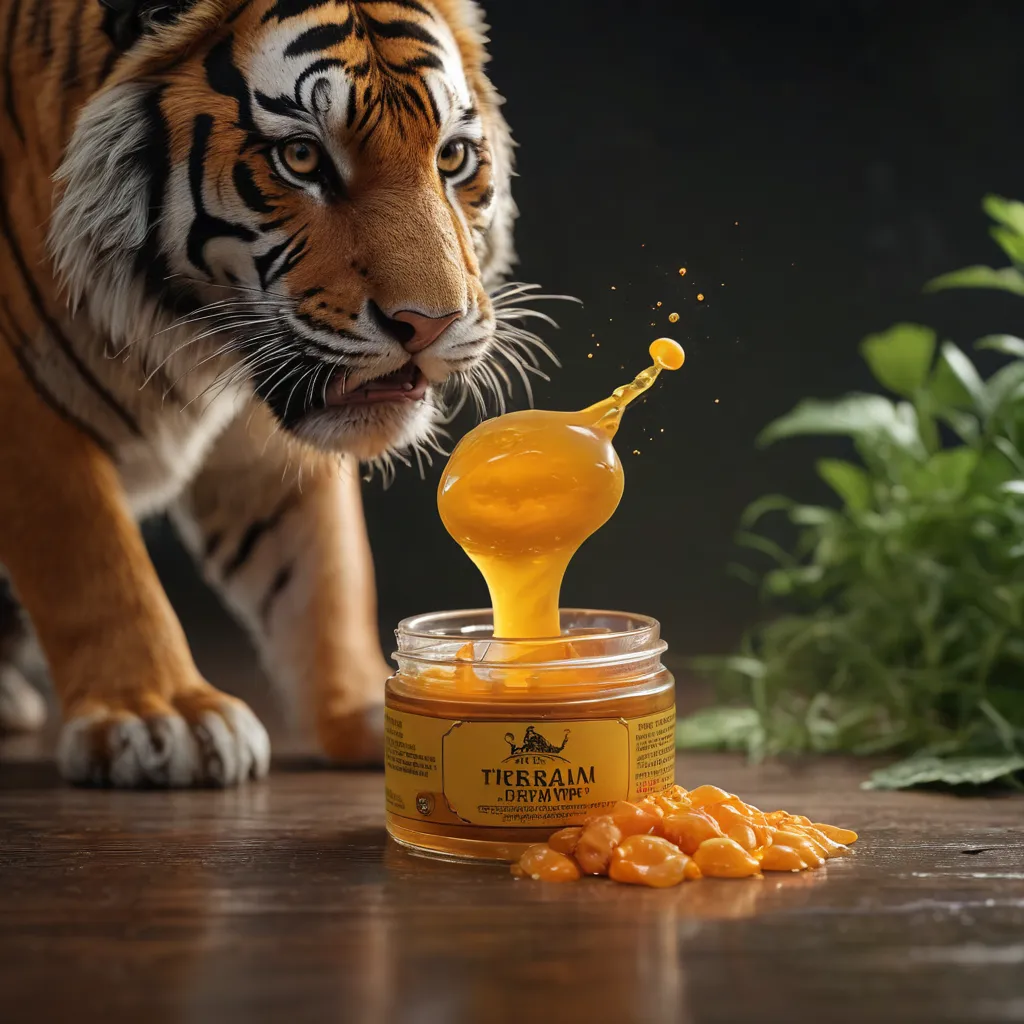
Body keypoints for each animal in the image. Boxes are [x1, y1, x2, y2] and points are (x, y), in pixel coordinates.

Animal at [0, 0, 553, 786]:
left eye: (451, 158)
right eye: (301, 158)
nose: (430, 323)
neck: (186, 335)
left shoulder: (265, 438)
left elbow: (325, 570)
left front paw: (373, 702)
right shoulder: (22, 401)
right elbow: (92, 553)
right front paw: (160, 717)